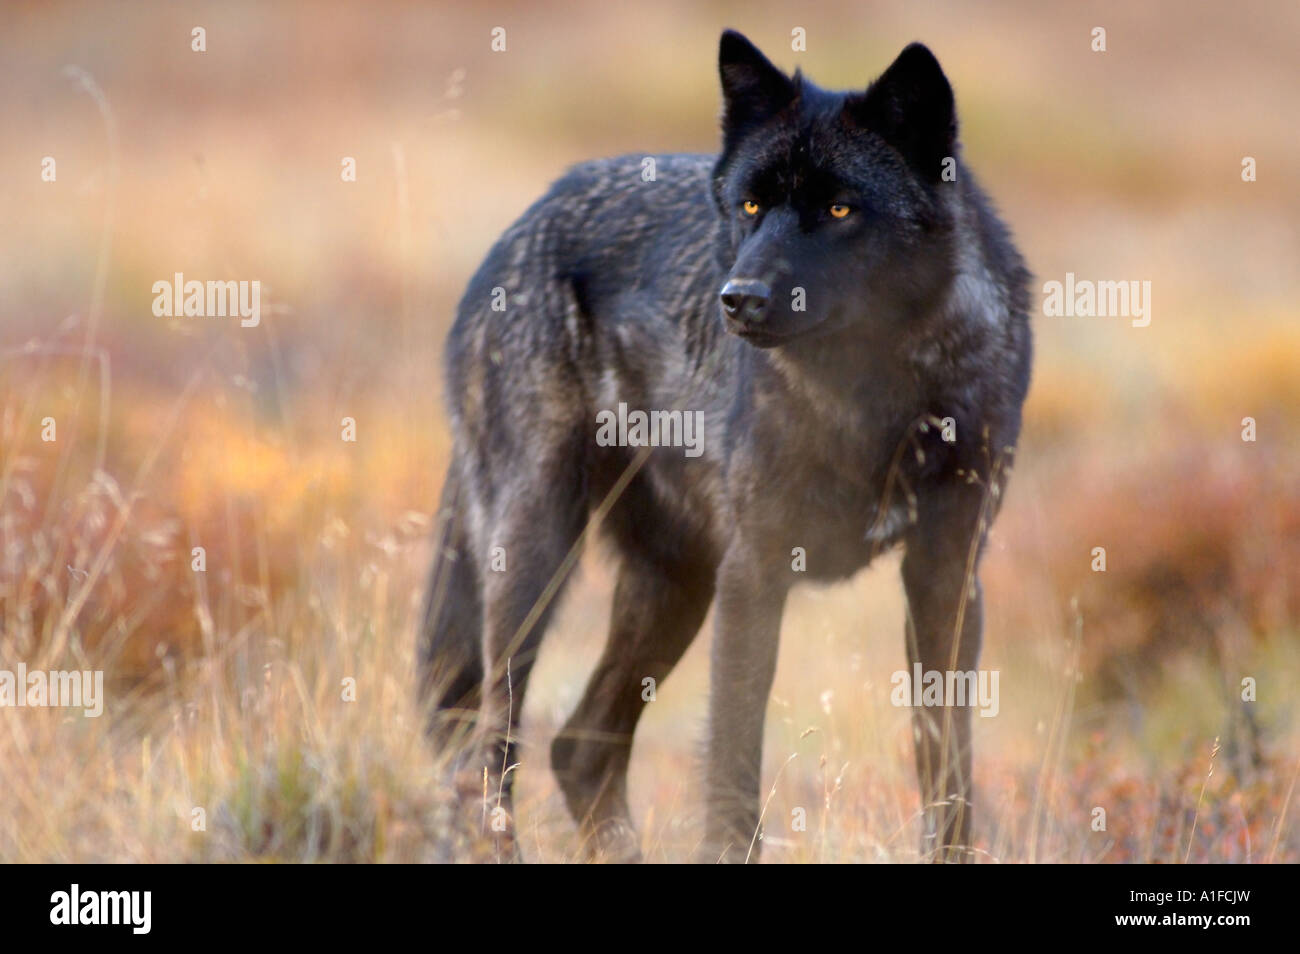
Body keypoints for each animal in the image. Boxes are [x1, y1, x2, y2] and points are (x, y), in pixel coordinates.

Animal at [418, 29, 1031, 863]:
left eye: (840, 207)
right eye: (750, 205)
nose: (739, 300)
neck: (873, 396)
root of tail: (520, 224)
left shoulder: (945, 574)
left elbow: (949, 768)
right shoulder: (755, 575)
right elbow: (735, 772)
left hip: (673, 587)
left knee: (578, 746)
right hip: (537, 559)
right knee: (488, 755)